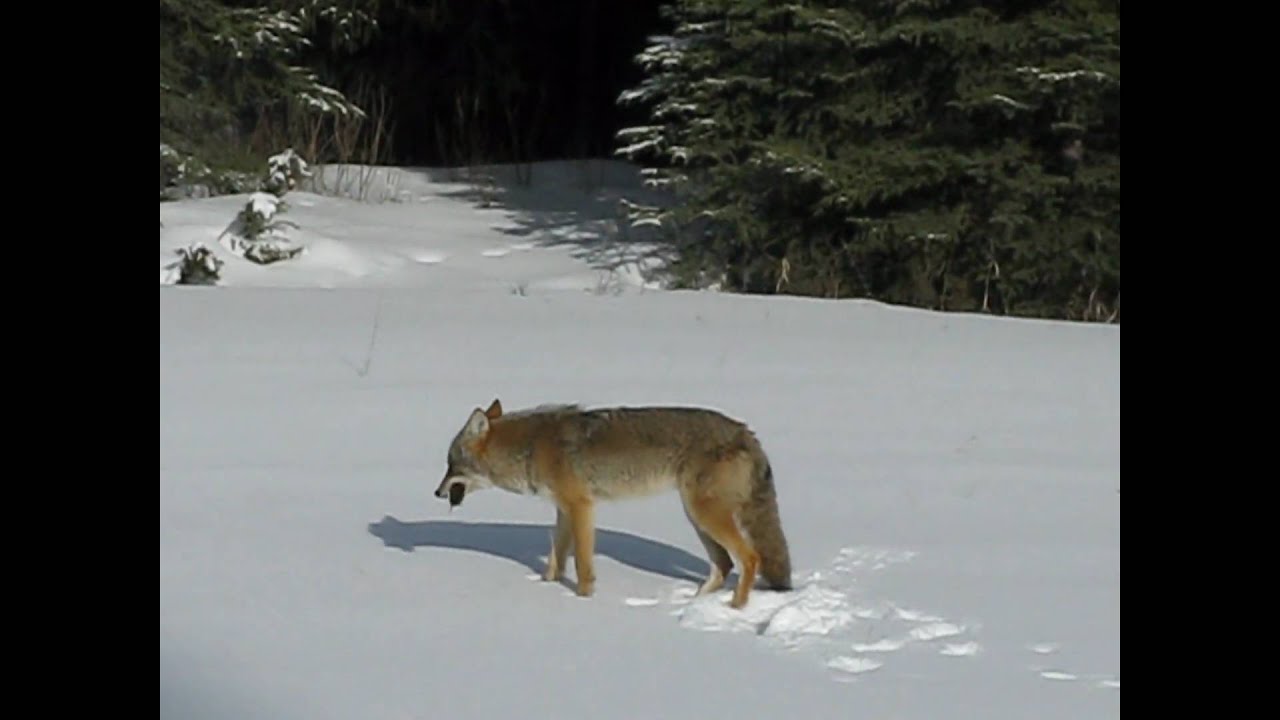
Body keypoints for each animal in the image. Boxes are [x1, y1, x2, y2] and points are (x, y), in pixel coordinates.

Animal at [433, 399, 793, 609]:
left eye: (450, 465)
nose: (436, 493)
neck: (530, 447)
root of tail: (746, 432)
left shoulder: (581, 507)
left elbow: (581, 565)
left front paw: (582, 600)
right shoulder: (563, 511)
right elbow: (555, 561)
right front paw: (548, 588)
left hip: (705, 514)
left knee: (750, 558)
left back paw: (735, 607)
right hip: (697, 516)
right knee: (724, 565)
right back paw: (692, 606)